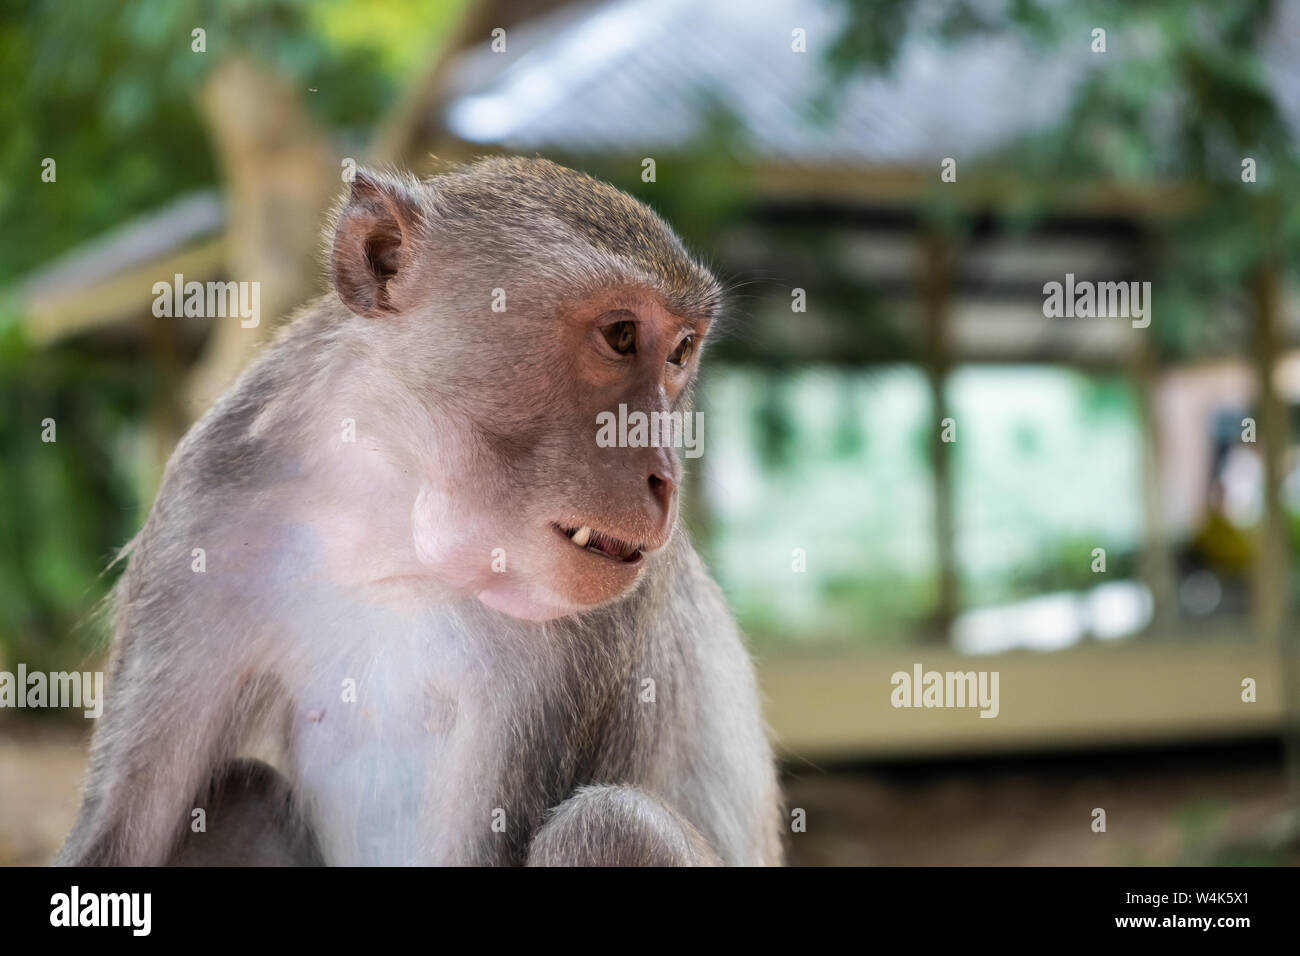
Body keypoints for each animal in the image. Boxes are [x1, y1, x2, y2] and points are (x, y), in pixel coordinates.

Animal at [55, 157, 784, 867]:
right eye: (622, 335)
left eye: (681, 351)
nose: (666, 476)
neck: (393, 511)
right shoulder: (204, 503)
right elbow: (119, 833)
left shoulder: (580, 638)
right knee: (241, 793)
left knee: (609, 824)